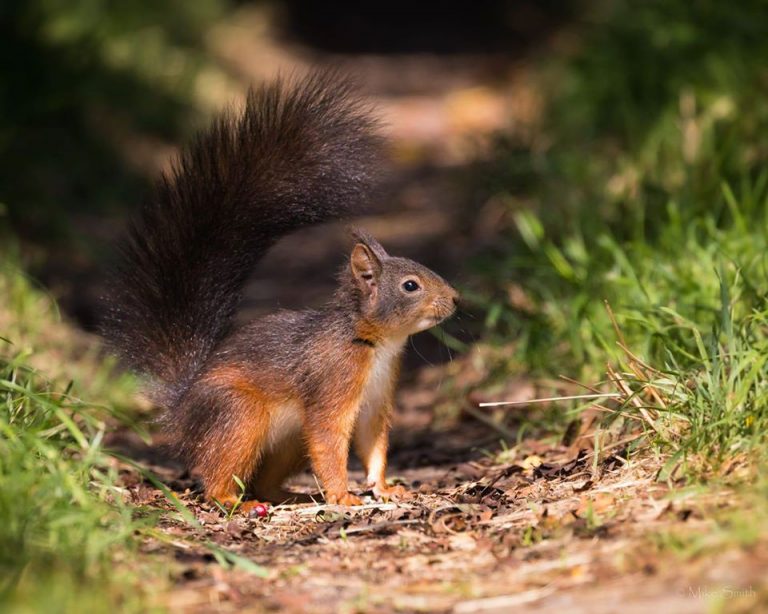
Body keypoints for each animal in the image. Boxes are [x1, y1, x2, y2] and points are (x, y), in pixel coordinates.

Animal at [103, 71, 458, 513]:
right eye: (411, 285)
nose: (455, 300)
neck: (377, 343)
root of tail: (181, 411)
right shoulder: (333, 382)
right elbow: (329, 438)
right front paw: (342, 495)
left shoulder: (376, 397)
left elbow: (372, 440)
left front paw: (385, 487)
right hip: (239, 415)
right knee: (218, 472)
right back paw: (233, 500)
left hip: (288, 440)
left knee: (263, 481)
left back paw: (290, 493)